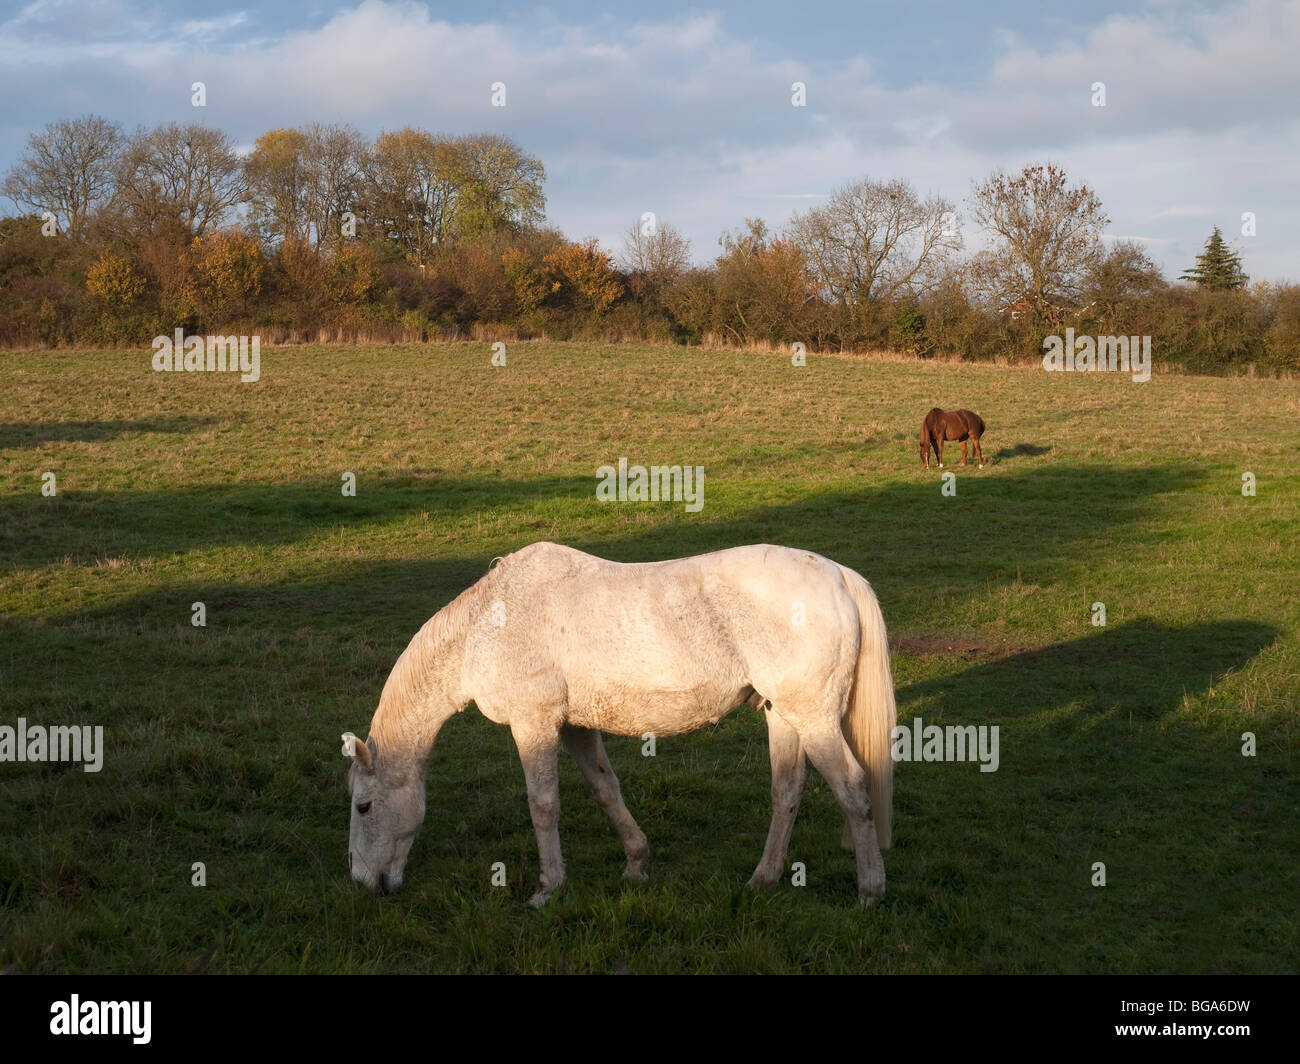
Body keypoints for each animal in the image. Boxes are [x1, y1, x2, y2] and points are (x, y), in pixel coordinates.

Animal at [341, 541, 897, 907]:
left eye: (364, 806)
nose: (361, 882)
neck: (490, 623)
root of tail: (839, 576)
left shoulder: (533, 725)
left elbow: (543, 806)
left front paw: (547, 889)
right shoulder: (574, 727)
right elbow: (606, 790)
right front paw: (636, 864)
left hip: (815, 719)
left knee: (854, 789)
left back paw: (870, 891)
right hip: (783, 714)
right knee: (787, 791)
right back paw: (763, 880)